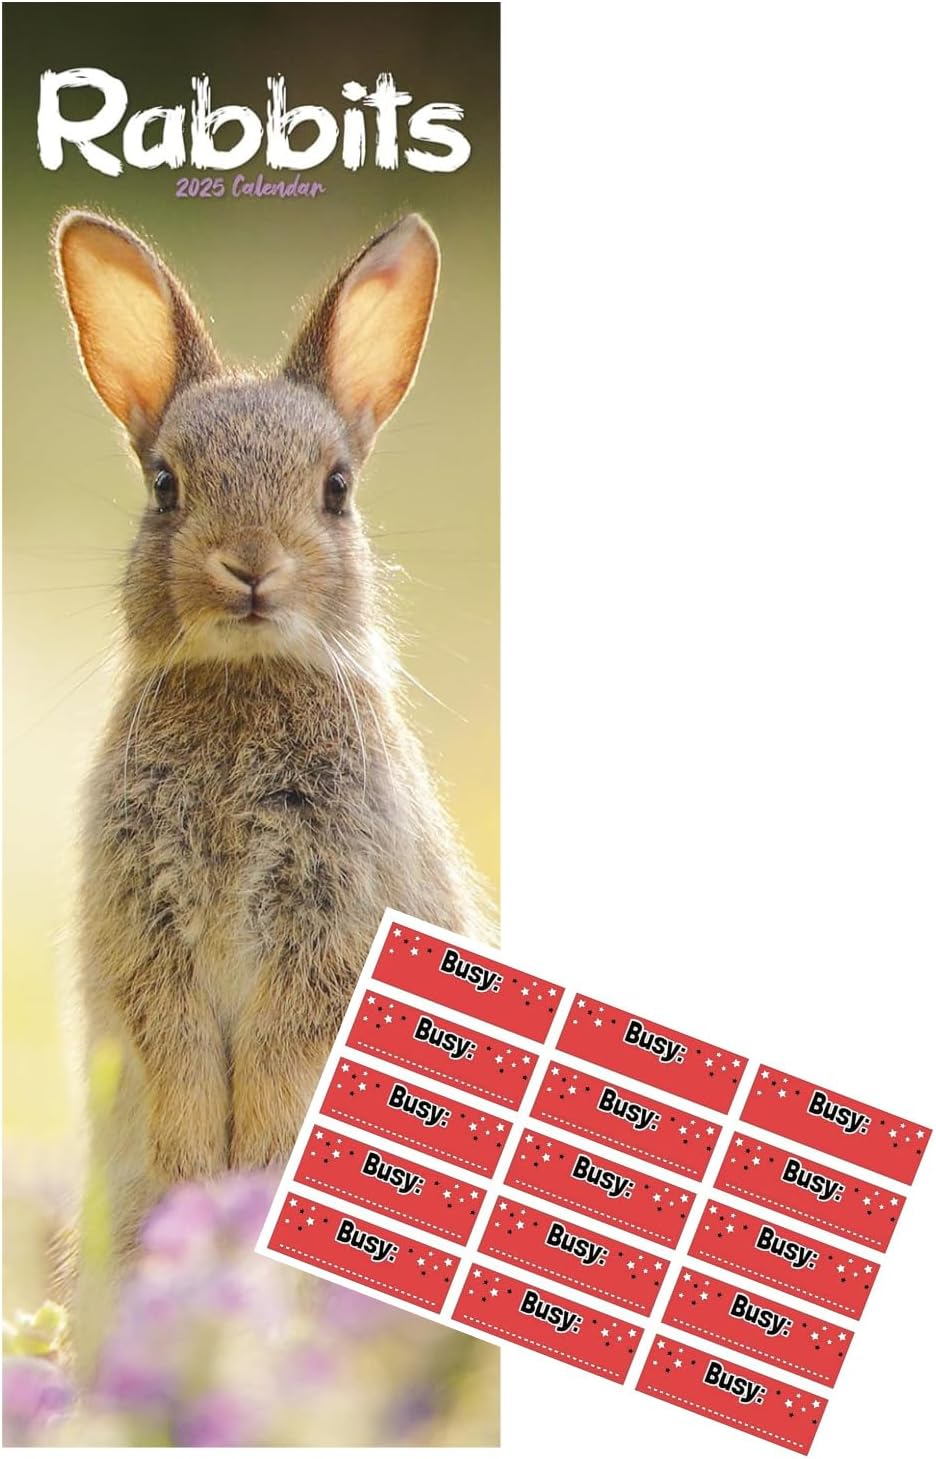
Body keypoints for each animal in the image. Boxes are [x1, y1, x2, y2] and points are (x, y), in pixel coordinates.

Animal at [53, 209, 492, 1266]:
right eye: (165, 485)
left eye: (336, 488)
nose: (249, 567)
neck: (243, 679)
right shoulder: (144, 928)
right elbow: (171, 1040)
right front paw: (193, 1161)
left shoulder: (333, 912)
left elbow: (283, 1040)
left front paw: (253, 1157)